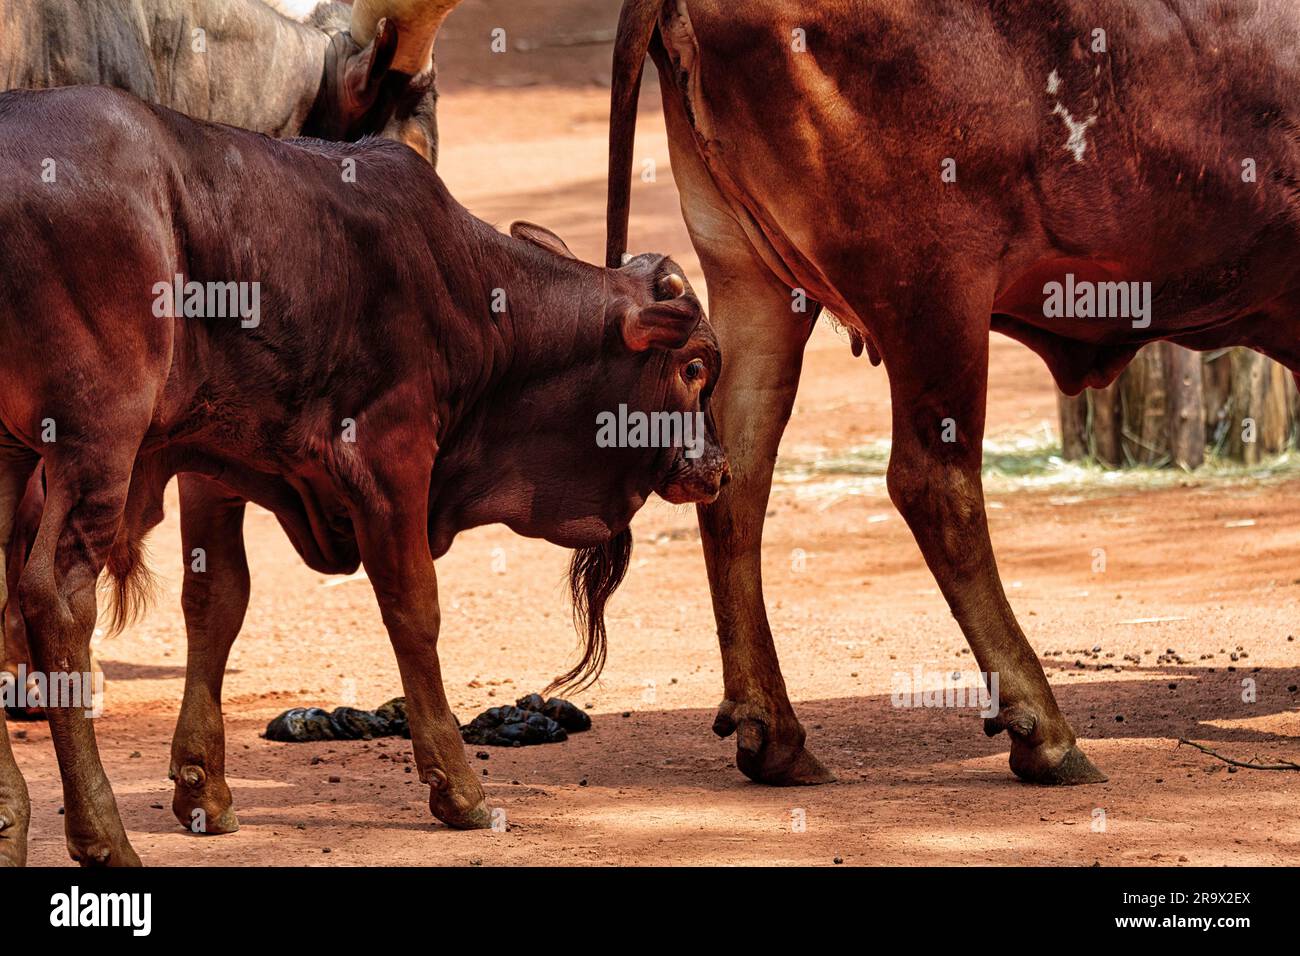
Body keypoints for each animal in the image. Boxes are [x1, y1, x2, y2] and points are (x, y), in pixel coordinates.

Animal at [0, 84, 726, 866]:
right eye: (694, 368)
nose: (716, 467)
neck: (476, 297)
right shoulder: (391, 456)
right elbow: (415, 609)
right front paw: (458, 788)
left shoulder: (212, 465)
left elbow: (218, 603)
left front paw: (203, 788)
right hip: (95, 441)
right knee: (54, 600)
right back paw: (102, 835)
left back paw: (12, 820)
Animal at [606, 0, 1300, 789]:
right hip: (934, 285)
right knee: (933, 484)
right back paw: (1045, 733)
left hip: (752, 273)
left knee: (738, 477)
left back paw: (774, 733)